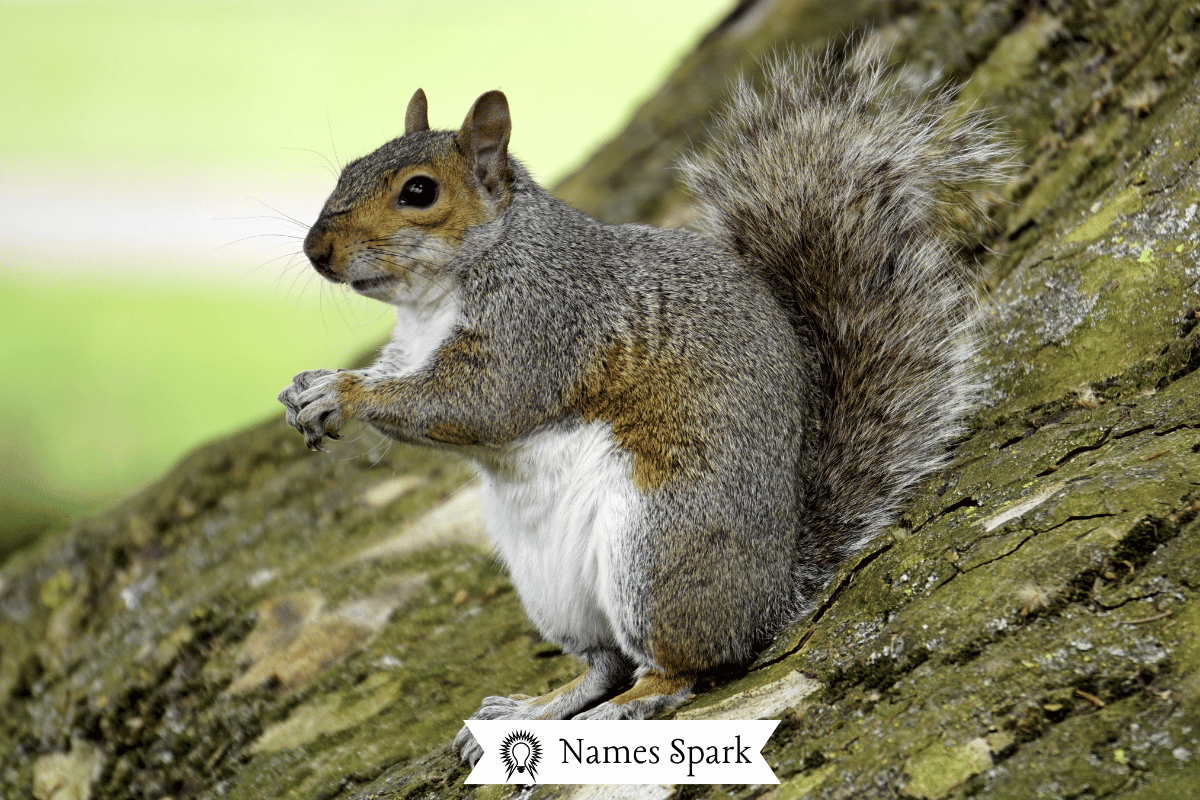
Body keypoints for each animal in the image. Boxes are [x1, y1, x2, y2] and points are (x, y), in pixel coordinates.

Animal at [278, 45, 1008, 766]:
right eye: (348, 169)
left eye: (419, 192)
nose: (316, 250)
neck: (439, 295)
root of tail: (773, 593)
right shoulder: (414, 348)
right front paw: (309, 387)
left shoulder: (540, 326)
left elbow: (479, 404)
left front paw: (345, 395)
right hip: (554, 588)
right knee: (605, 663)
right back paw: (535, 709)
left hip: (657, 551)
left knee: (681, 669)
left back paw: (628, 706)